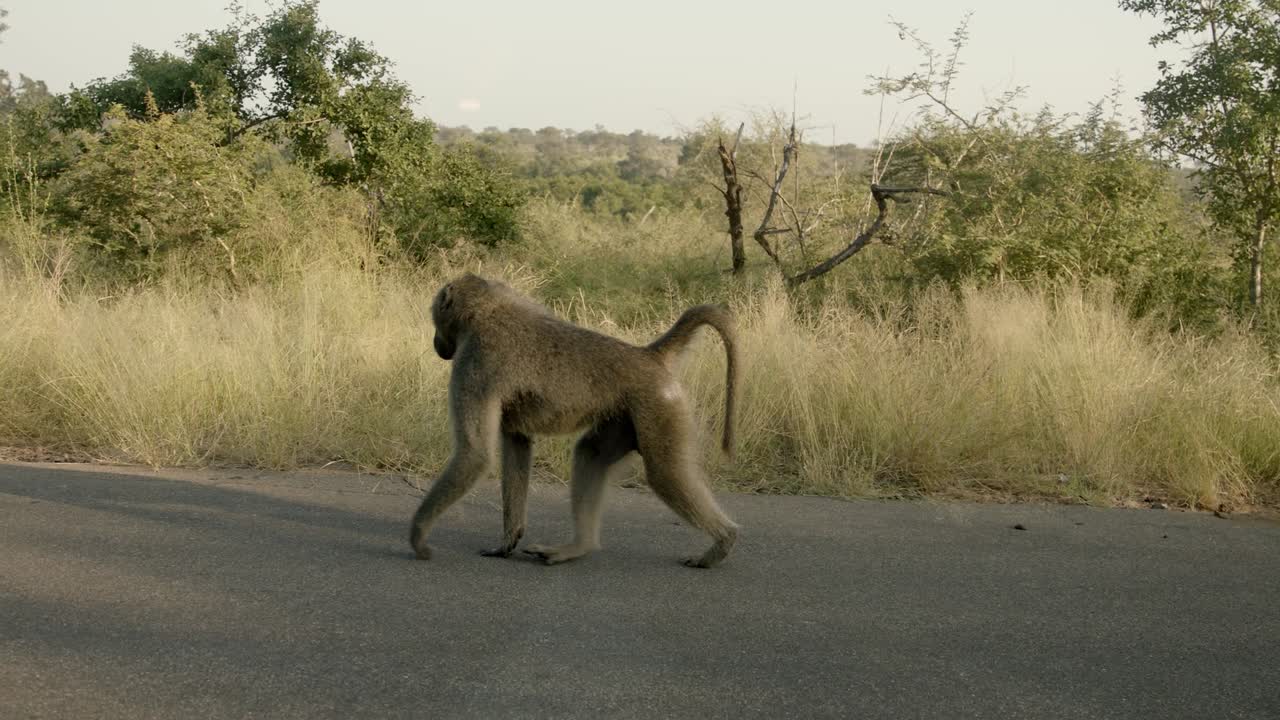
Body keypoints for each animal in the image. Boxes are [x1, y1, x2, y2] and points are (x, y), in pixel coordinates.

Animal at [408, 272, 739, 568]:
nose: (437, 343)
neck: (486, 310)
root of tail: (649, 356)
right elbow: (517, 443)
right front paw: (507, 541)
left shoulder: (472, 366)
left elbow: (474, 454)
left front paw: (418, 537)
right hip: (626, 415)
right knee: (590, 454)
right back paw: (579, 546)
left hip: (659, 405)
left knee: (664, 473)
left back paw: (722, 544)